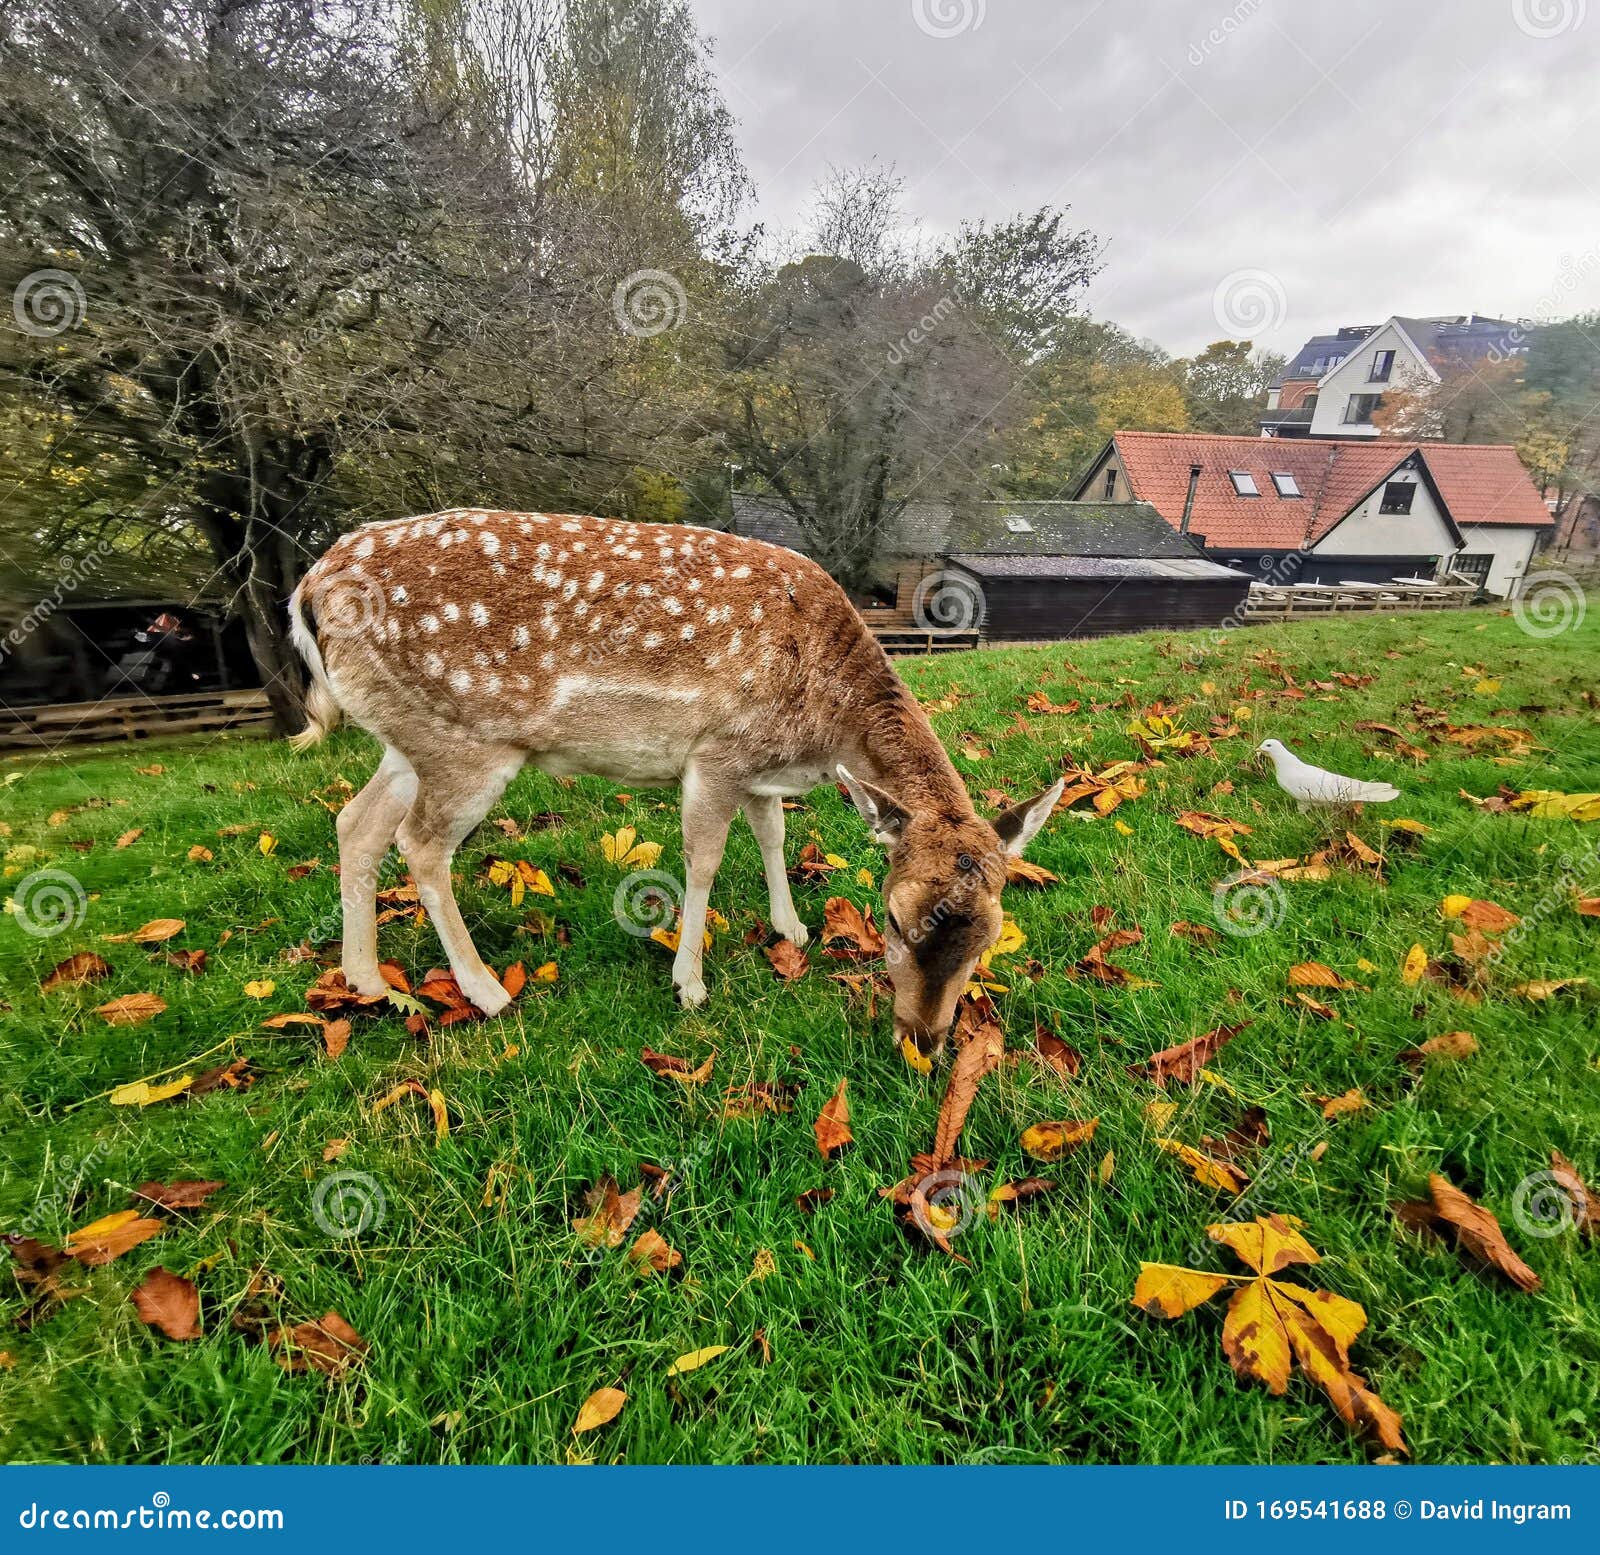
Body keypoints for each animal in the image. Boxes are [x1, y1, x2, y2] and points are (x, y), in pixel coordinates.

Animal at [287, 509, 1064, 1057]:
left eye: (991, 936)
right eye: (895, 919)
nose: (923, 1037)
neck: (821, 724)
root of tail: (308, 589)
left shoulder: (757, 769)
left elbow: (774, 833)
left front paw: (792, 927)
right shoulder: (716, 752)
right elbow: (705, 860)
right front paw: (690, 983)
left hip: (409, 738)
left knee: (355, 824)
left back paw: (370, 984)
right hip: (468, 744)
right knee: (419, 844)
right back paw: (483, 992)